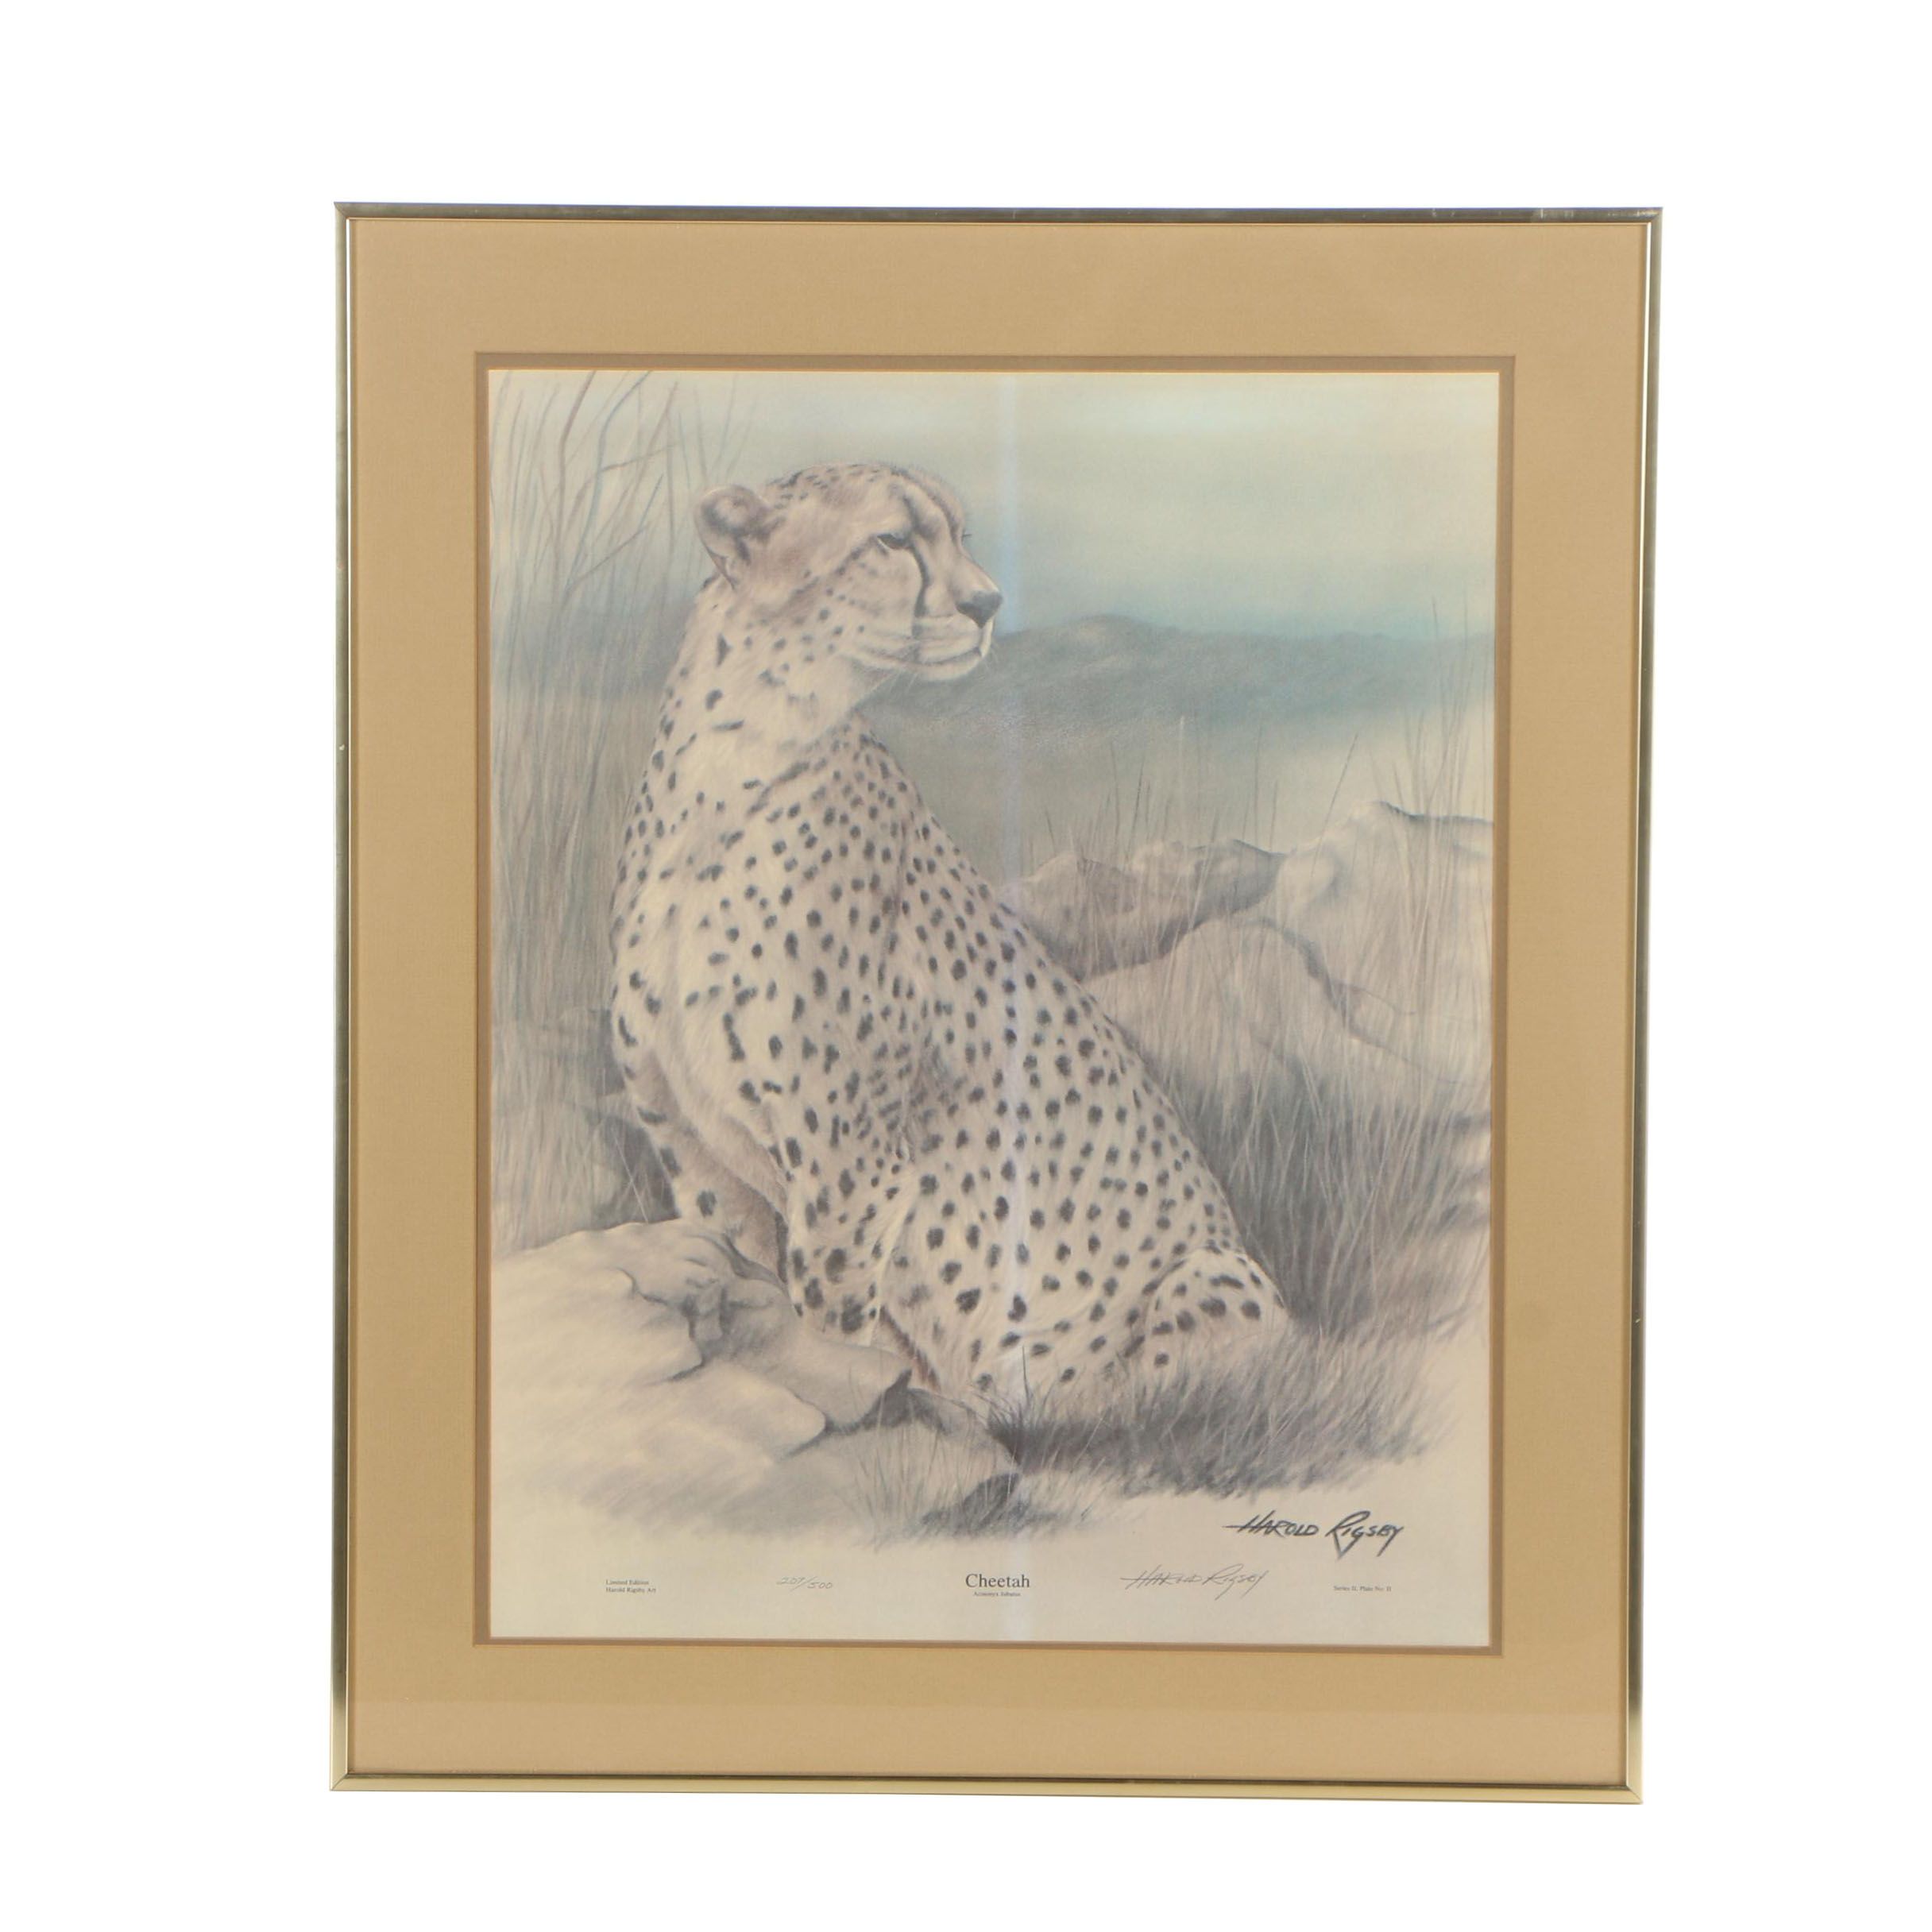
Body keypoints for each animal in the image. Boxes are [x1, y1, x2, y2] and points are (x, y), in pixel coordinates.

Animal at [607, 461, 1288, 1417]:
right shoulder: (699, 1153)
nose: (986, 602)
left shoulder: (852, 1165)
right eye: (892, 539)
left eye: (960, 535)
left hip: (1214, 1274)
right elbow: (754, 1280)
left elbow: (829, 1323)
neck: (734, 765)